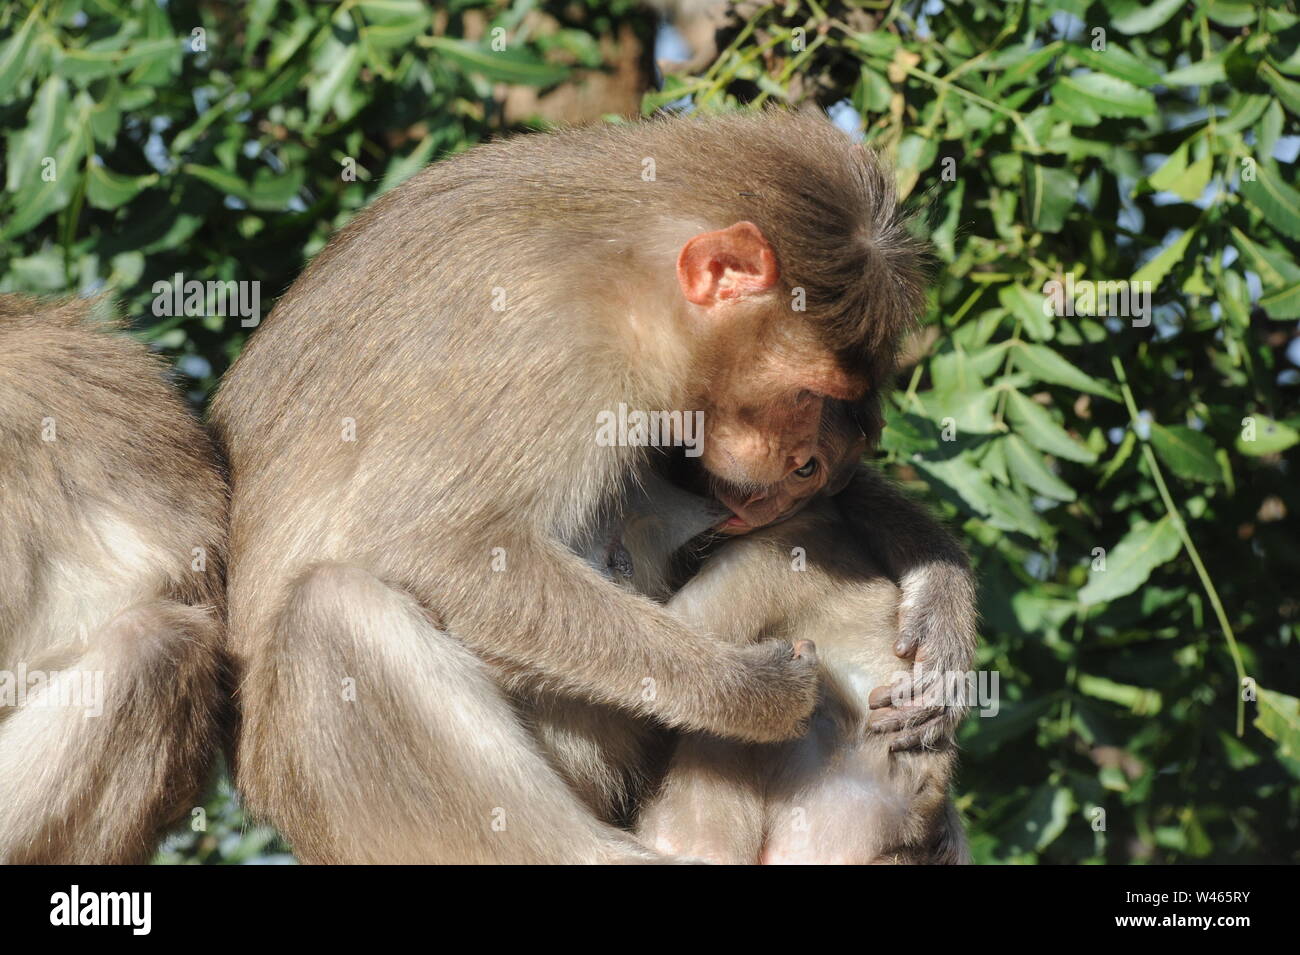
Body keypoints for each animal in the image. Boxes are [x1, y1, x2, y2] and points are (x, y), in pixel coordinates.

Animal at [210, 109, 975, 863]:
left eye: (821, 429)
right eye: (806, 393)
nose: (790, 466)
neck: (624, 270)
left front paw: (942, 599)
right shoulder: (540, 338)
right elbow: (427, 545)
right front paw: (751, 693)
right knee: (330, 609)